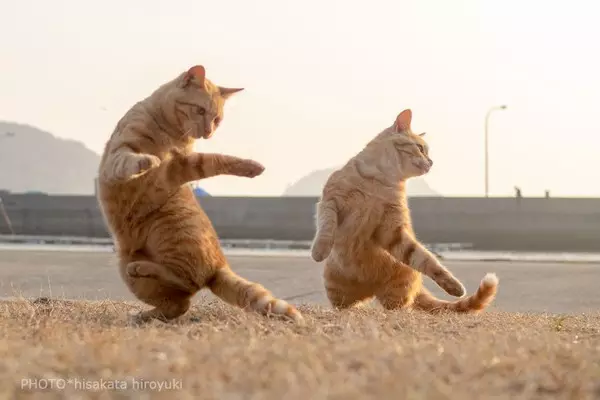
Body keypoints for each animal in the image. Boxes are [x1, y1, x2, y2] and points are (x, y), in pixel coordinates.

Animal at [99, 65, 304, 324]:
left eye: (217, 119)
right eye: (200, 110)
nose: (208, 132)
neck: (168, 132)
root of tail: (219, 265)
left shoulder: (178, 167)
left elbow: (213, 160)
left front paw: (250, 167)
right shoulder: (123, 153)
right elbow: (130, 160)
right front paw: (146, 161)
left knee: (187, 287)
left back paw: (144, 283)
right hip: (128, 263)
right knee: (181, 299)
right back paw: (143, 308)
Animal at [310, 108, 496, 312]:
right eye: (421, 148)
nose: (431, 162)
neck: (380, 179)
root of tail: (370, 289)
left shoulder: (392, 230)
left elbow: (426, 258)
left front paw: (453, 285)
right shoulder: (330, 200)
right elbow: (326, 226)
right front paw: (319, 250)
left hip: (397, 291)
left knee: (398, 305)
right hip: (336, 290)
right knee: (344, 306)